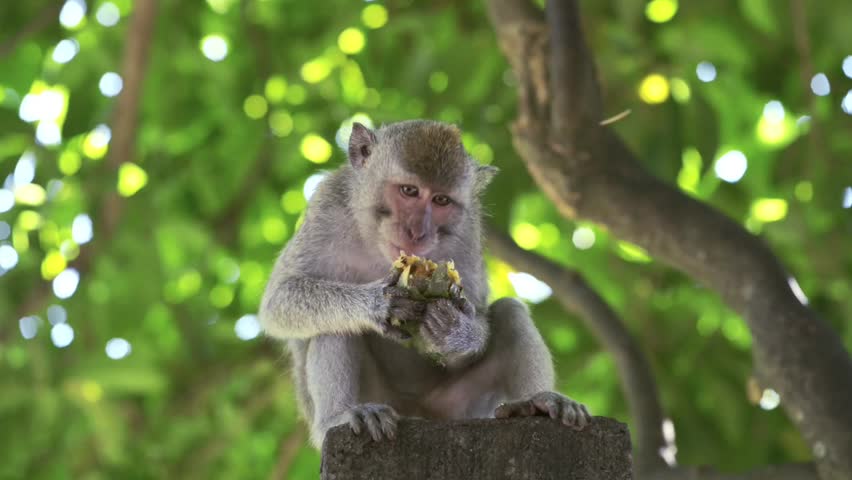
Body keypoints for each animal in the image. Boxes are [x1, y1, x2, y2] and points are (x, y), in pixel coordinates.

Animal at [259, 119, 591, 449]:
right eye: (409, 191)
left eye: (441, 200)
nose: (417, 231)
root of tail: (419, 413)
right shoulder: (327, 208)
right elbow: (279, 300)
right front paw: (379, 303)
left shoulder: (467, 234)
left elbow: (478, 312)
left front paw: (456, 330)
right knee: (335, 325)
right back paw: (340, 415)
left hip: (461, 406)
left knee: (511, 311)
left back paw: (537, 402)